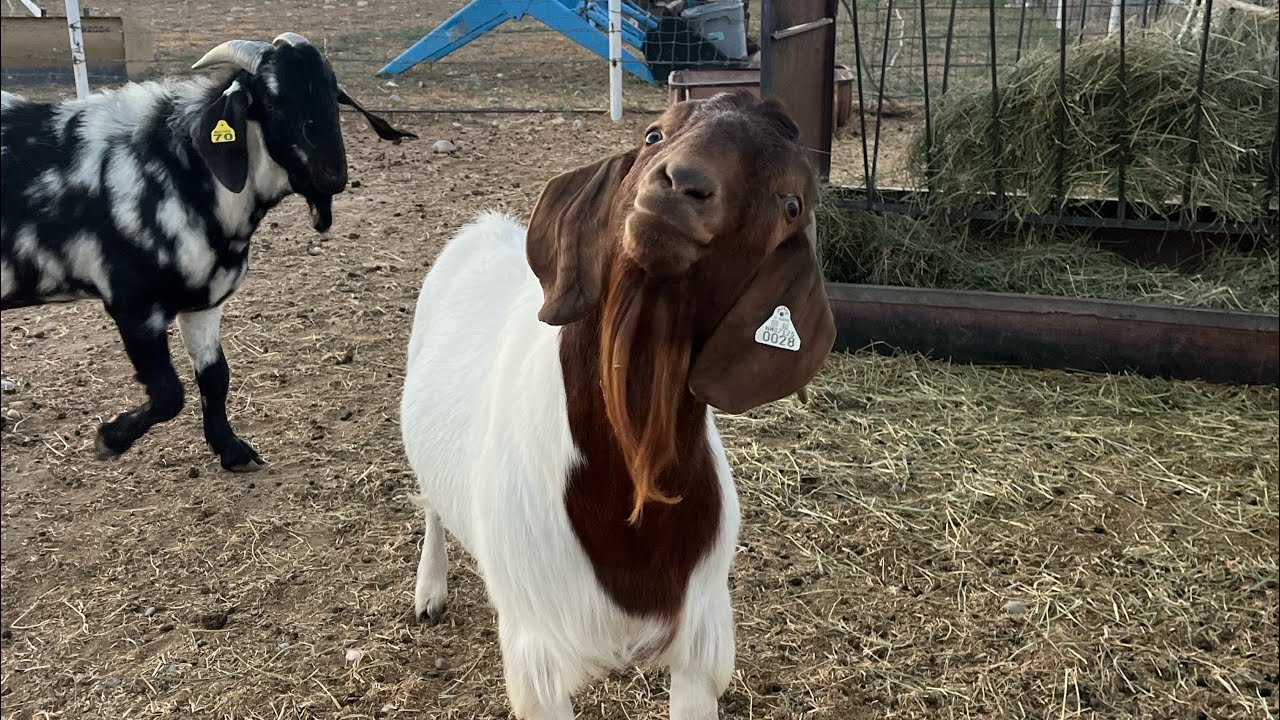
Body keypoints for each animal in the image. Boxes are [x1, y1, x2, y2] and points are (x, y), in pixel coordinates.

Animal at [0, 32, 415, 472]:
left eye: (333, 95)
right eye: (270, 102)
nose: (332, 176)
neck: (185, 170)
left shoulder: (204, 301)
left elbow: (215, 378)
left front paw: (232, 450)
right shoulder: (133, 303)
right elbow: (168, 394)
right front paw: (110, 438)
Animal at [399, 90, 835, 719]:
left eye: (792, 202)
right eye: (654, 133)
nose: (682, 184)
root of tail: (487, 226)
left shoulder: (702, 643)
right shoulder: (537, 653)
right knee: (432, 501)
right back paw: (429, 591)